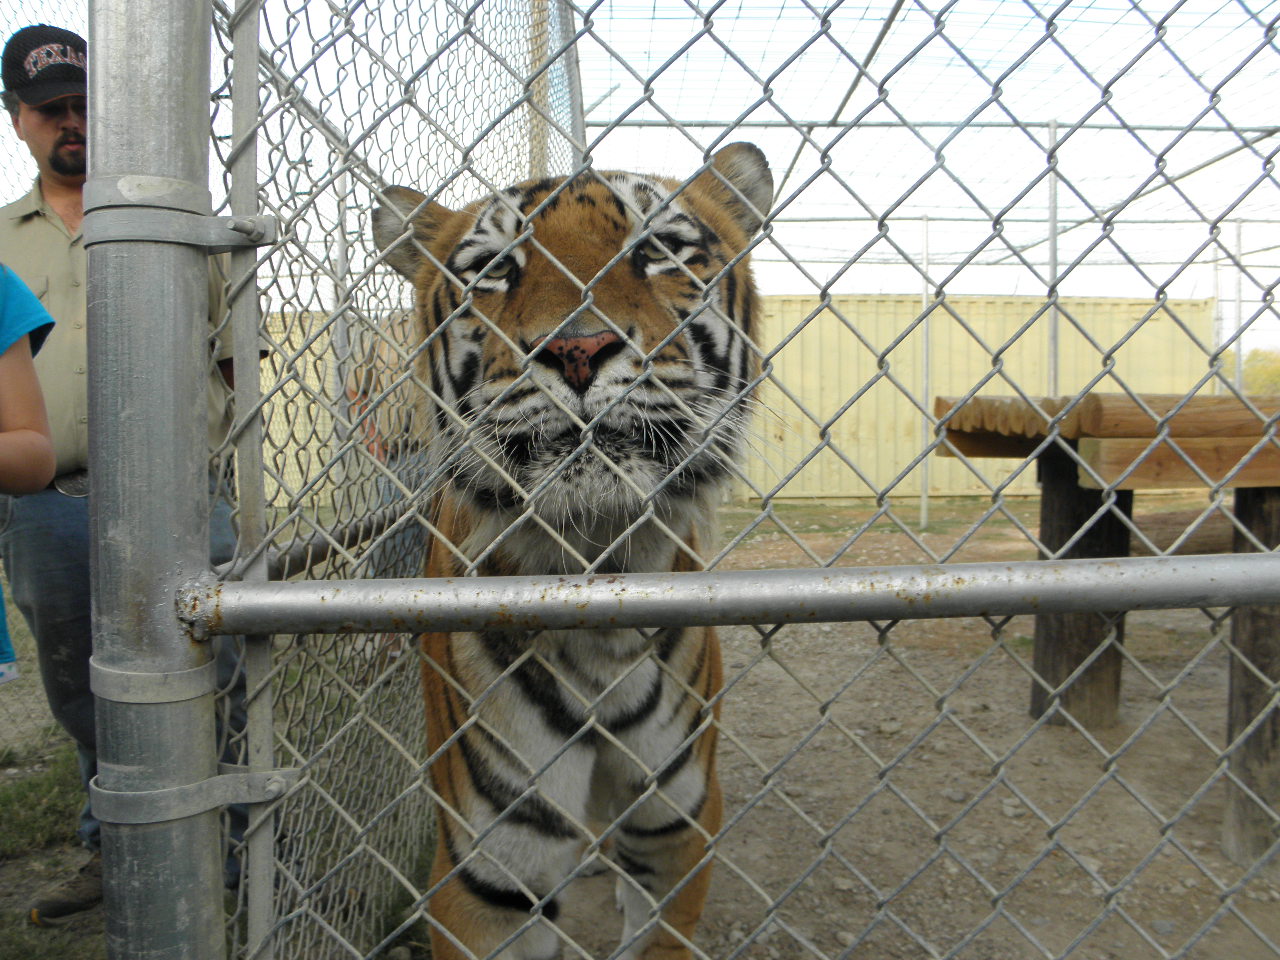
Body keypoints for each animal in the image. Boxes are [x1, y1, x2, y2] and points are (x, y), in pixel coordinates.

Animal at [370, 142, 772, 960]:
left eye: (658, 250)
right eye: (494, 267)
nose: (578, 348)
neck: (597, 567)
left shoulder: (678, 830)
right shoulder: (487, 873)